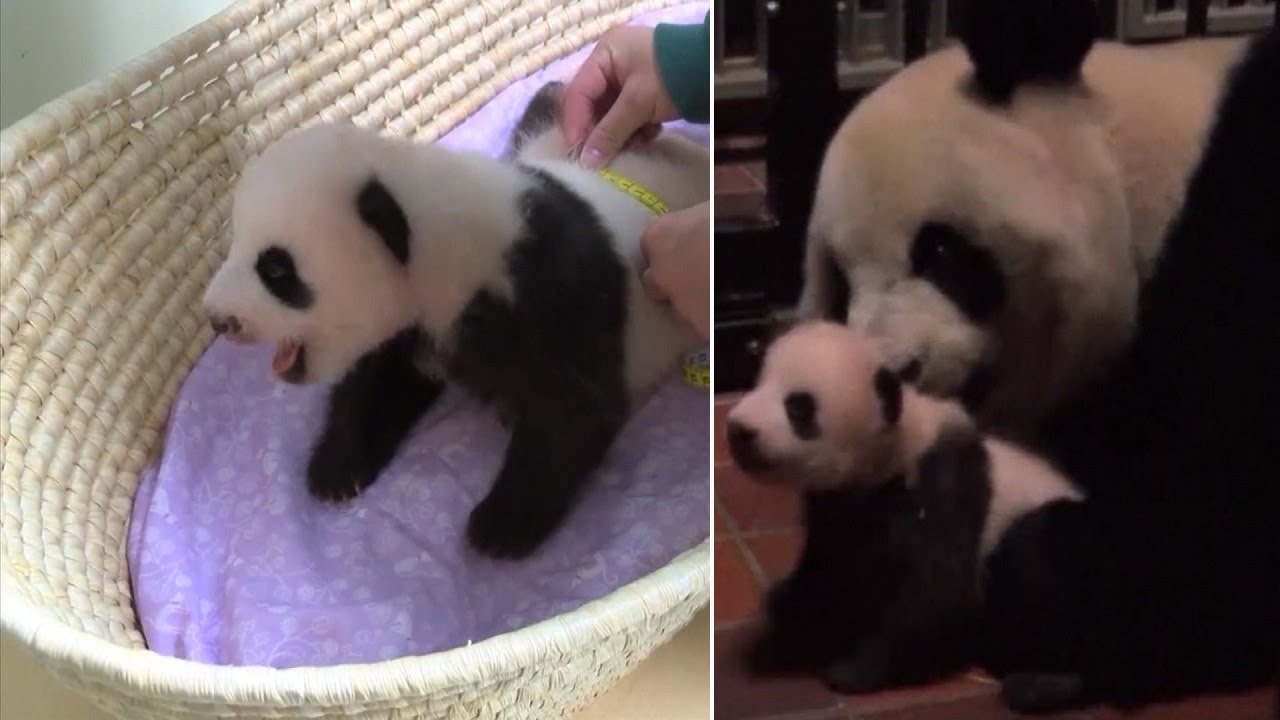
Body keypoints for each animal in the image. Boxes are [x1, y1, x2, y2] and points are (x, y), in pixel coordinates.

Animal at [201, 81, 707, 559]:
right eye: (235, 243)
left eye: (275, 270)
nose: (217, 319)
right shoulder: (417, 321)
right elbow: (379, 380)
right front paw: (336, 469)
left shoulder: (552, 290)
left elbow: (573, 407)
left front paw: (500, 527)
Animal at [724, 320, 1083, 694]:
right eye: (758, 382)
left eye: (798, 408)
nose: (739, 430)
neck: (897, 446)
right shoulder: (835, 505)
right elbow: (829, 564)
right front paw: (795, 615)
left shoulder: (945, 485)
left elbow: (937, 587)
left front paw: (854, 669)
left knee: (1036, 549)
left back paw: (1045, 682)